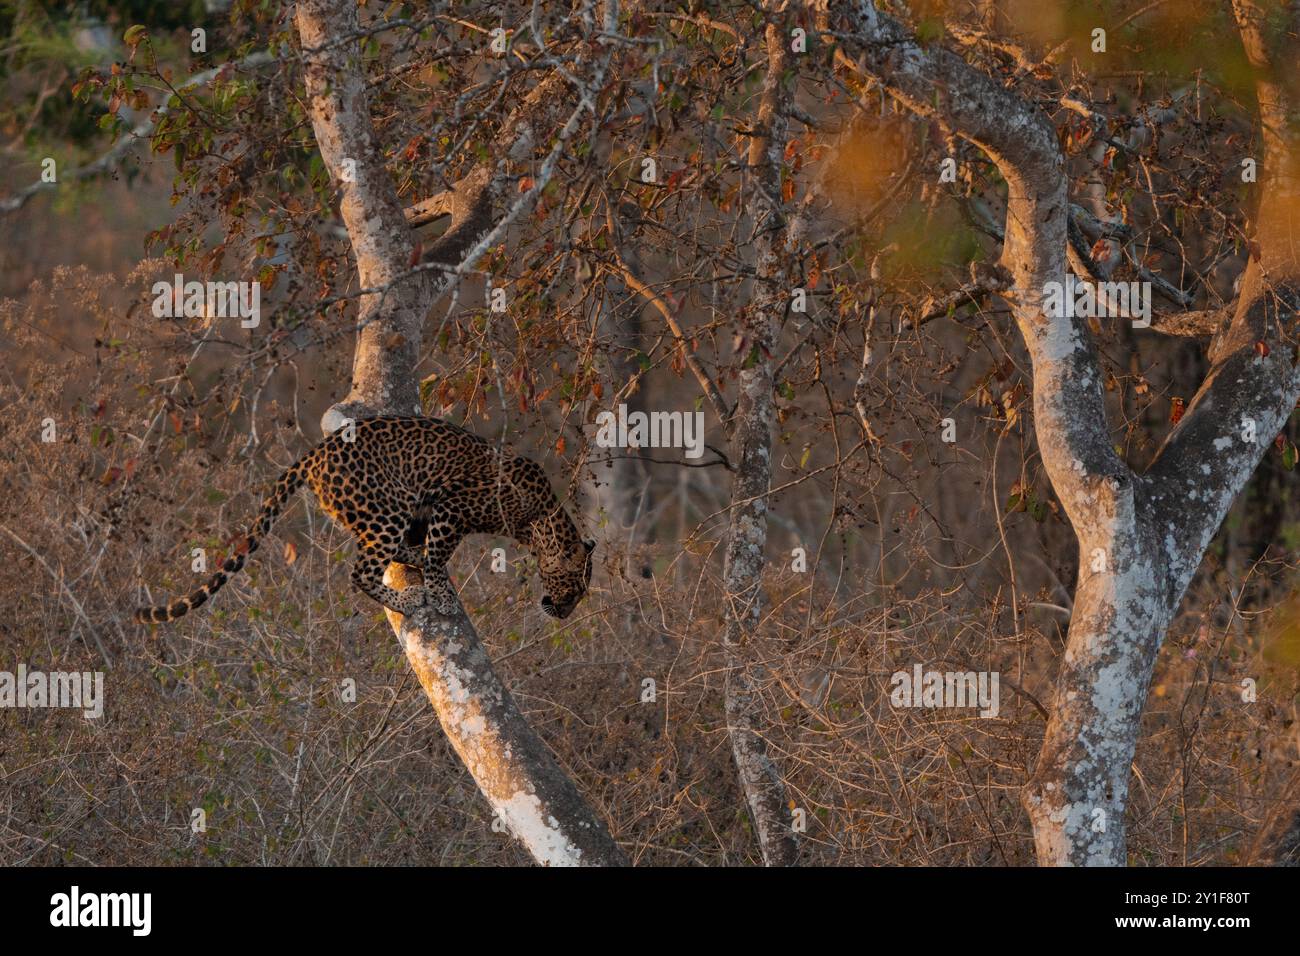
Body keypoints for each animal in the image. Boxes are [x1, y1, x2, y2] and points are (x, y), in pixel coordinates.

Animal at [134, 416, 594, 624]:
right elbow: (438, 557)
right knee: (360, 572)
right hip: (388, 508)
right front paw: (442, 595)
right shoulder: (453, 506)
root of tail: (313, 455)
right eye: (571, 589)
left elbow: (426, 549)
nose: (563, 614)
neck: (543, 519)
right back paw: (409, 599)